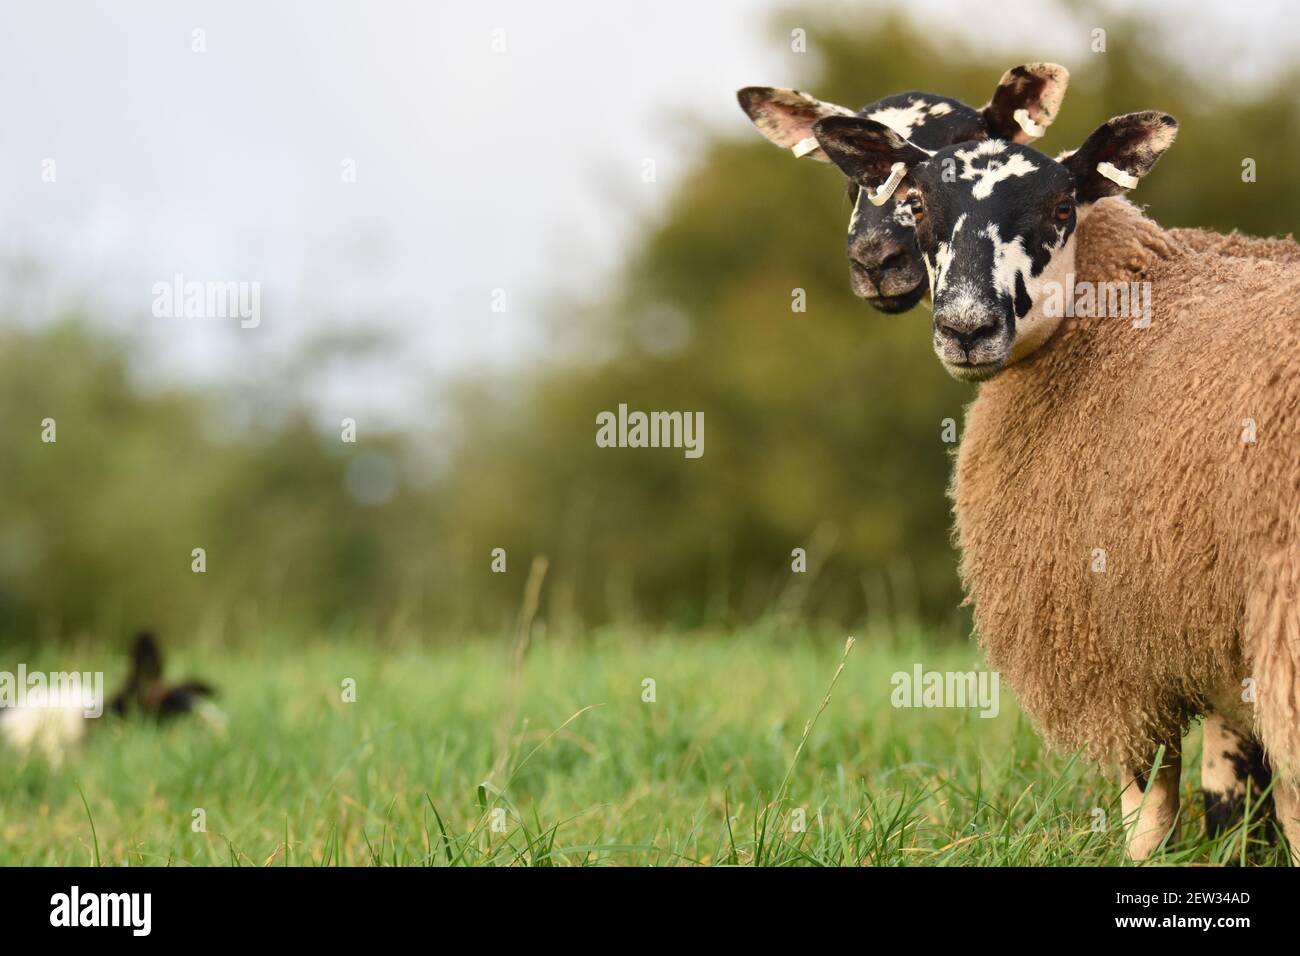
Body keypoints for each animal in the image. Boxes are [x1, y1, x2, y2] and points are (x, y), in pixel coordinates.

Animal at [811, 109, 1300, 860]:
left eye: (1062, 208)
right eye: (918, 205)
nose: (967, 328)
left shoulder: (1105, 642)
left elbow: (1149, 805)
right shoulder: (1205, 620)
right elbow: (1235, 803)